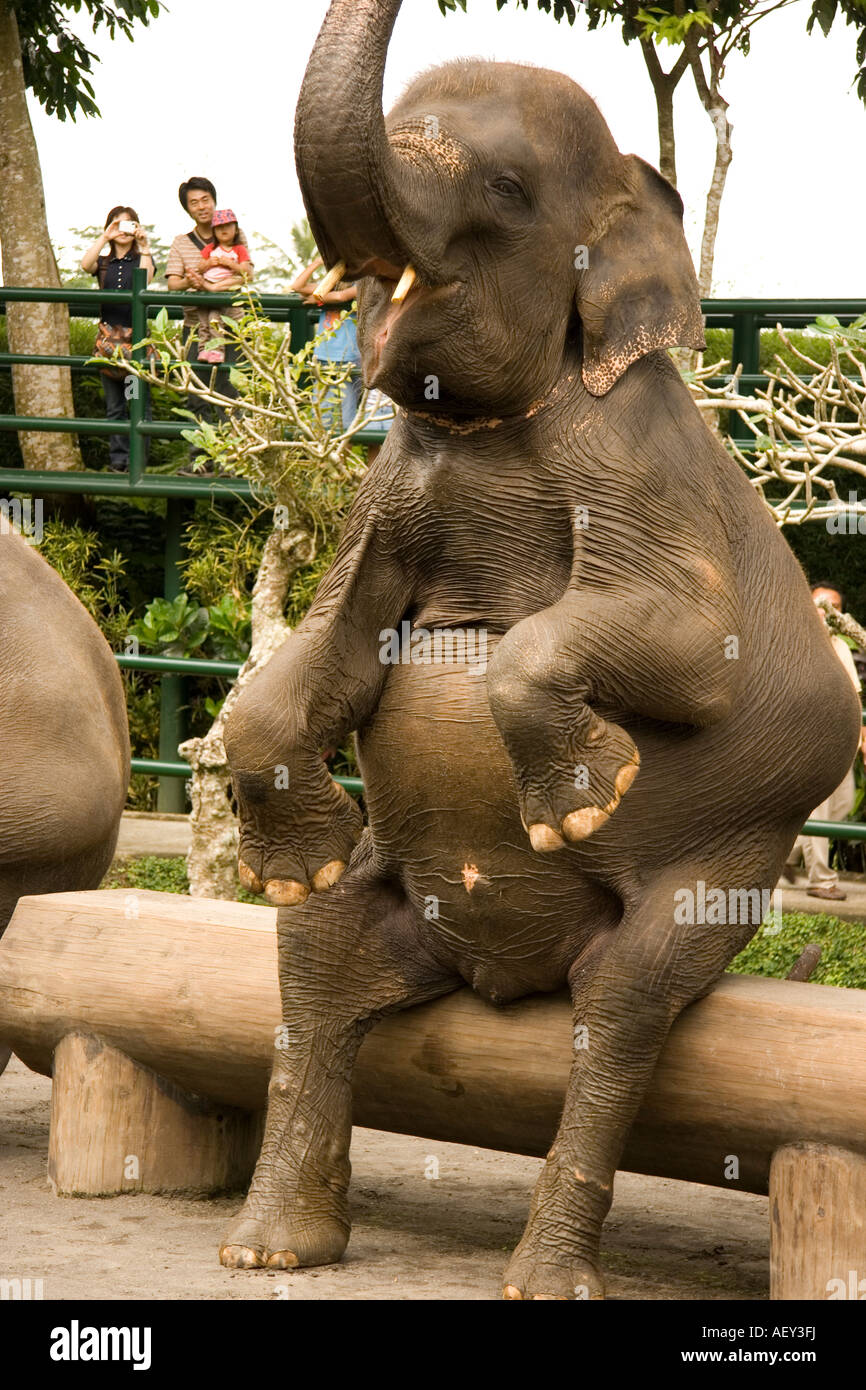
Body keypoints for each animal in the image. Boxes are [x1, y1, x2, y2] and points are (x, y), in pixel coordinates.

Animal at [218, 0, 860, 1298]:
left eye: (506, 191)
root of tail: (500, 976)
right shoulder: (384, 492)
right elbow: (325, 649)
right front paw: (291, 857)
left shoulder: (635, 454)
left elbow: (690, 649)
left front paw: (578, 800)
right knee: (316, 959)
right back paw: (269, 1246)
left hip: (720, 867)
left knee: (618, 1011)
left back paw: (540, 1277)